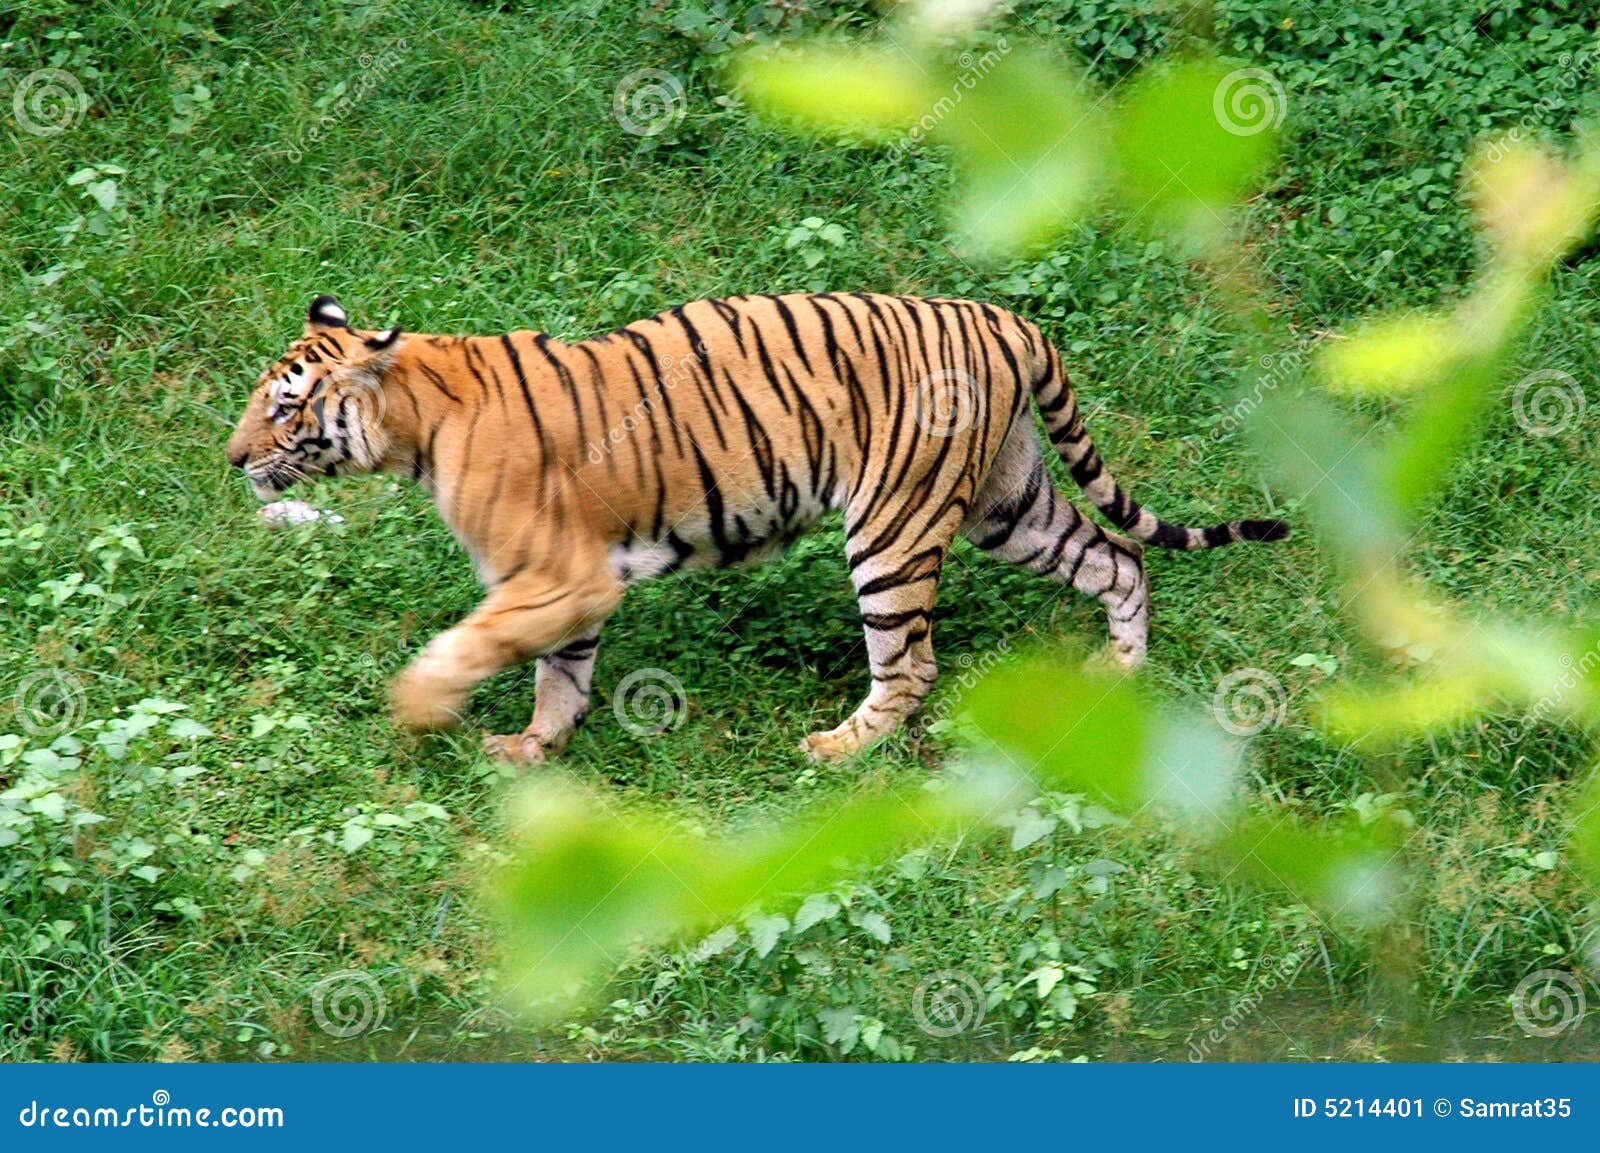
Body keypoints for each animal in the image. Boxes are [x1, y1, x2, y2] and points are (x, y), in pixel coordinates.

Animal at [226, 292, 1288, 763]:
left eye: (284, 406)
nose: (232, 460)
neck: (418, 422)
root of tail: (1004, 317)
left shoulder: (560, 573)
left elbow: (476, 647)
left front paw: (416, 711)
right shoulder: (565, 584)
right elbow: (561, 673)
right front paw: (534, 747)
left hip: (894, 529)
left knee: (913, 662)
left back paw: (840, 749)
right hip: (1008, 503)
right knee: (1117, 556)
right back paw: (1120, 673)